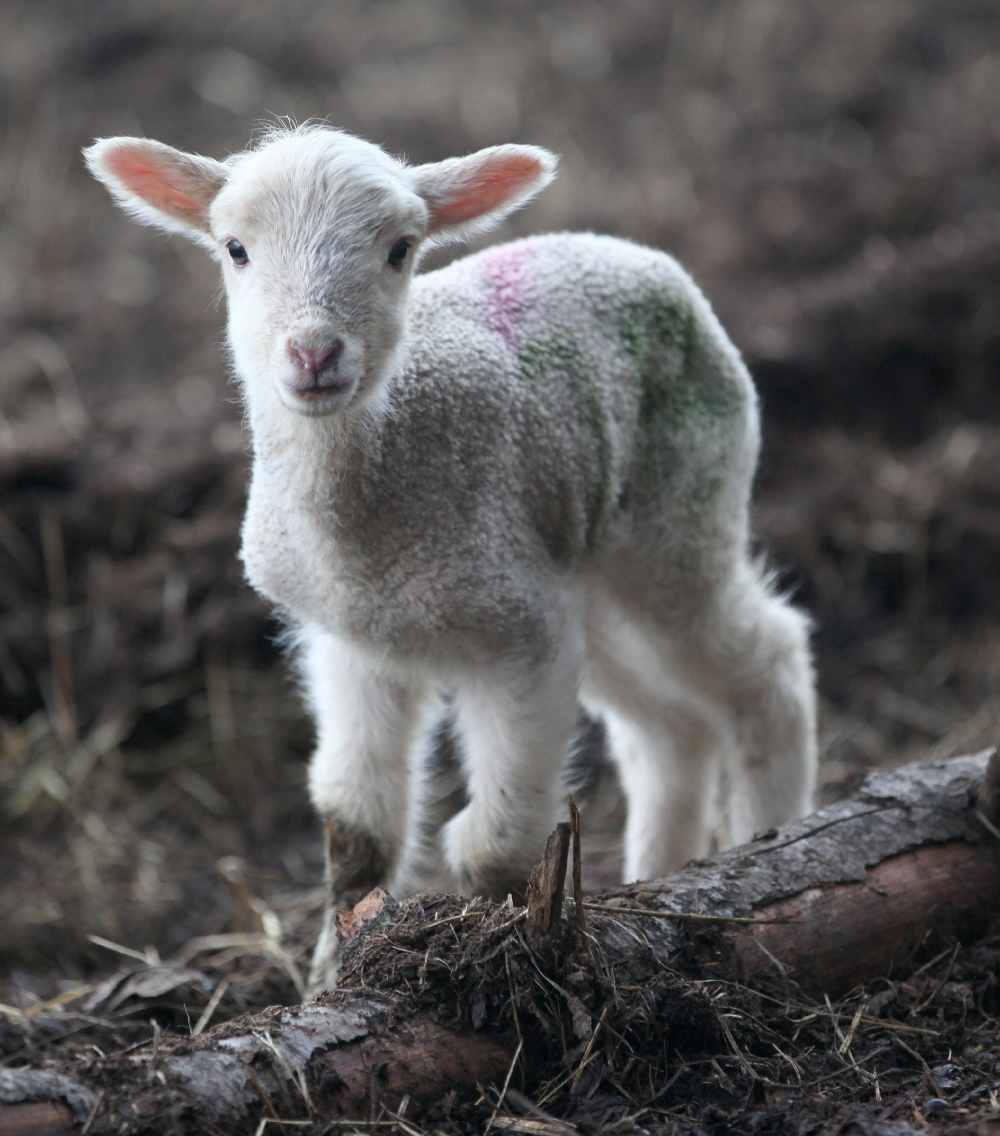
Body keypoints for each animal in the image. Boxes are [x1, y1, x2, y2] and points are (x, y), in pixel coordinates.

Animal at [85, 125, 817, 995]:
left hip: (680, 513)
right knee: (667, 728)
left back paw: (768, 840)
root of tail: (634, 252)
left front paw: (506, 964)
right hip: (584, 573)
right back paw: (658, 873)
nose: (313, 353)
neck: (367, 532)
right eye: (235, 249)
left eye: (401, 250)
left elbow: (499, 842)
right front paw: (331, 981)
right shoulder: (350, 639)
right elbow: (356, 823)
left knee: (764, 661)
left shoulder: (520, 629)